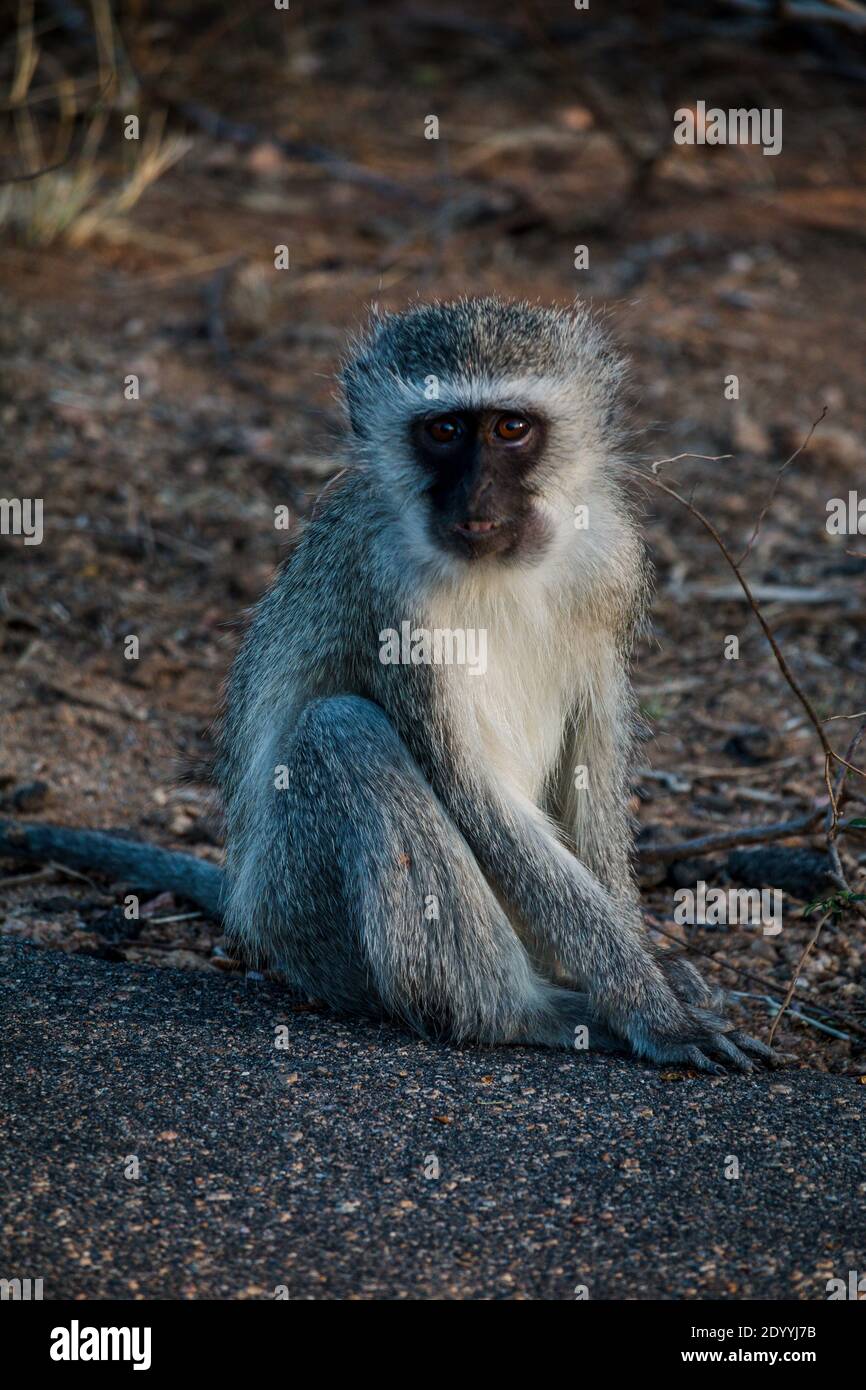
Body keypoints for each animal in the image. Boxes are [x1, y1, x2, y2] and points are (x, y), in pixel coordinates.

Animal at [214, 295, 776, 1072]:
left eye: (511, 428)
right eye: (444, 431)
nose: (477, 494)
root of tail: (252, 916)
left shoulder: (612, 561)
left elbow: (590, 769)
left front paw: (658, 978)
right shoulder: (387, 591)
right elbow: (470, 789)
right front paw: (653, 1010)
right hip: (300, 917)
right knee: (343, 730)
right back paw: (523, 1012)